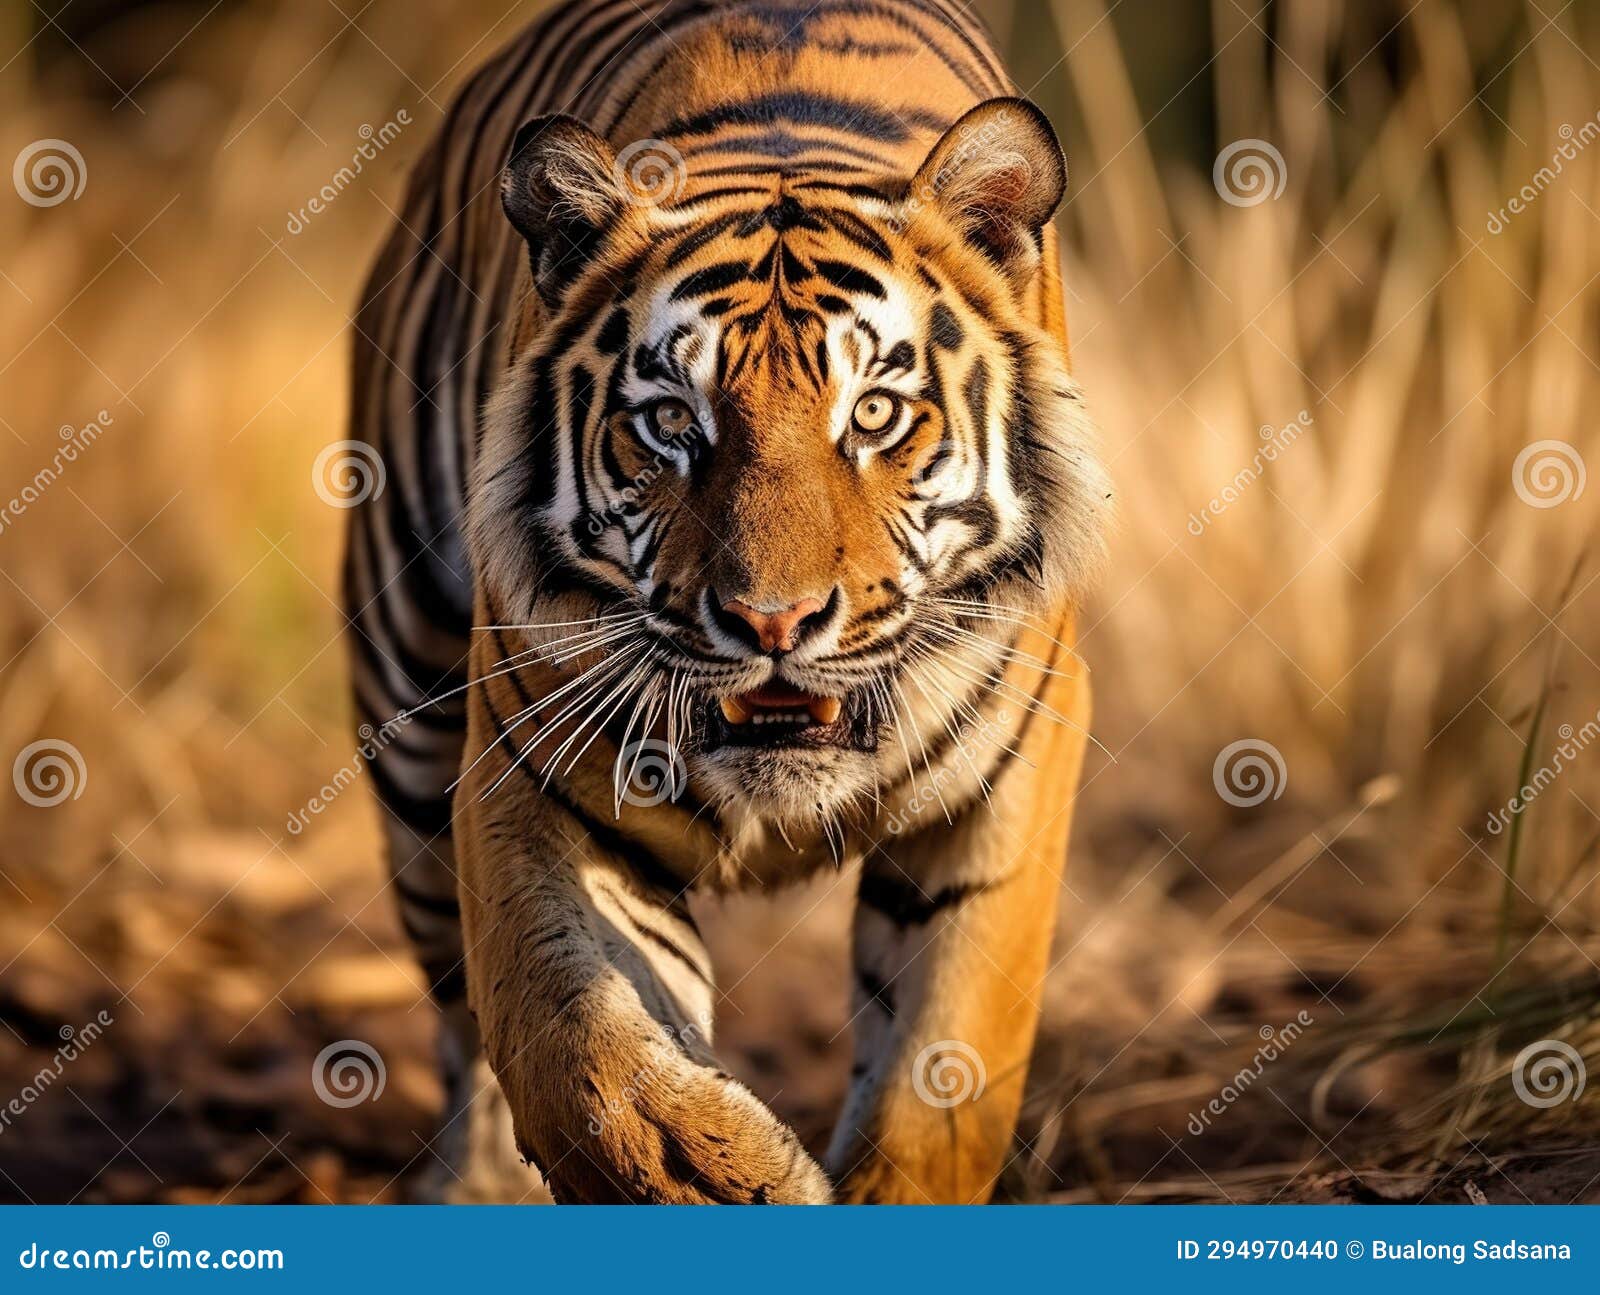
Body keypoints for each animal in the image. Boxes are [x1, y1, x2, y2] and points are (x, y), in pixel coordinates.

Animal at [345, 0, 1110, 1204]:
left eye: (876, 413)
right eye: (672, 421)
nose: (773, 624)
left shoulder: (1015, 762)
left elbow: (943, 1072)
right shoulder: (528, 766)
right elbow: (569, 1035)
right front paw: (707, 1166)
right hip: (408, 714)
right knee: (460, 1008)